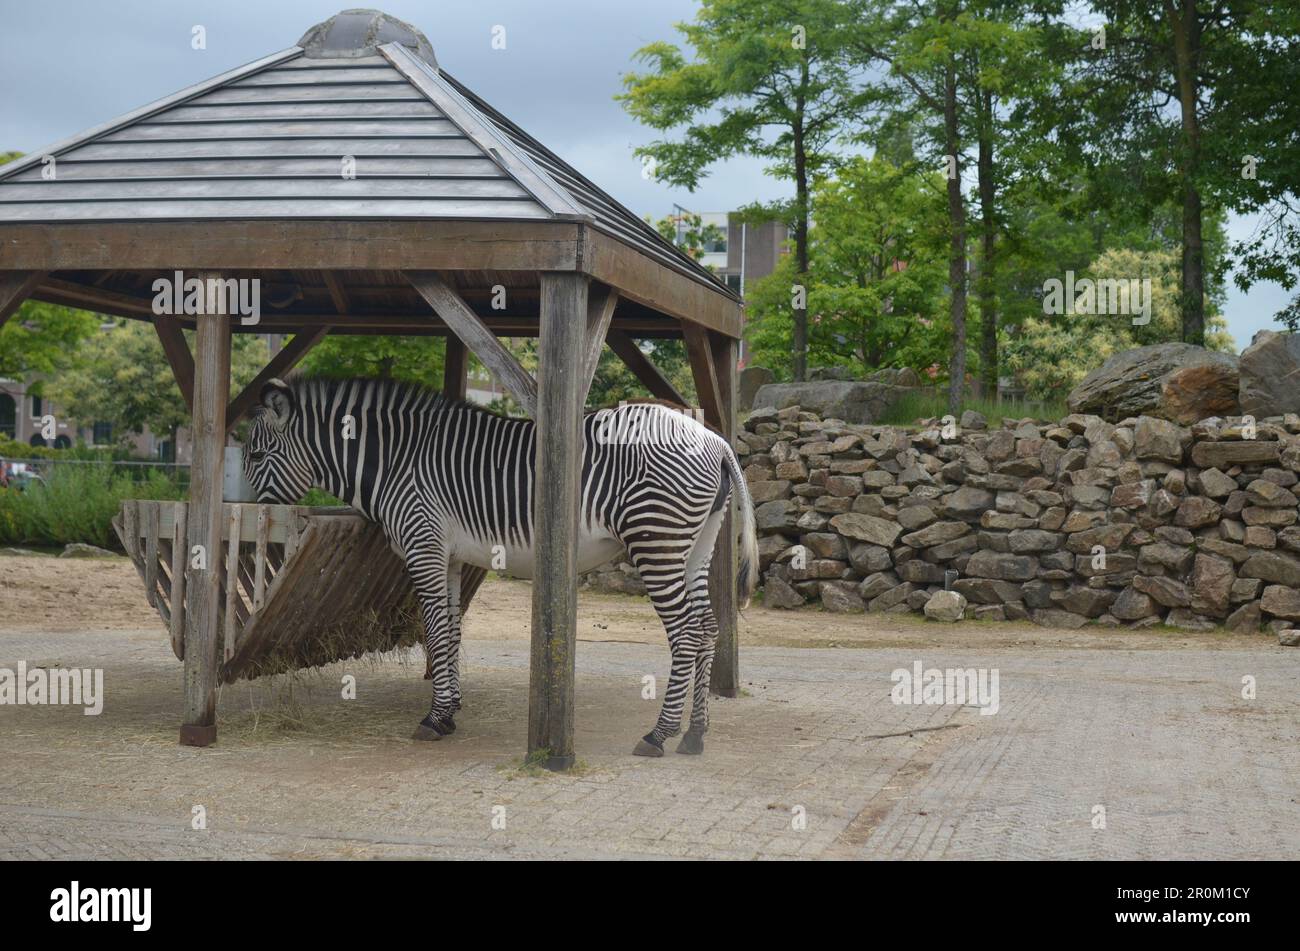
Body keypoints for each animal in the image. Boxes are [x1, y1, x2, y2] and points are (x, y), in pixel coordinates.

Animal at [243, 377, 757, 757]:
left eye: (255, 455)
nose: (254, 524)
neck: (396, 461)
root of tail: (715, 439)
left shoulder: (423, 544)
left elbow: (434, 630)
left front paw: (434, 718)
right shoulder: (448, 556)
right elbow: (450, 630)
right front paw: (450, 711)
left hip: (657, 540)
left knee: (685, 633)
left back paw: (659, 734)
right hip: (697, 544)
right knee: (707, 628)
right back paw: (695, 734)